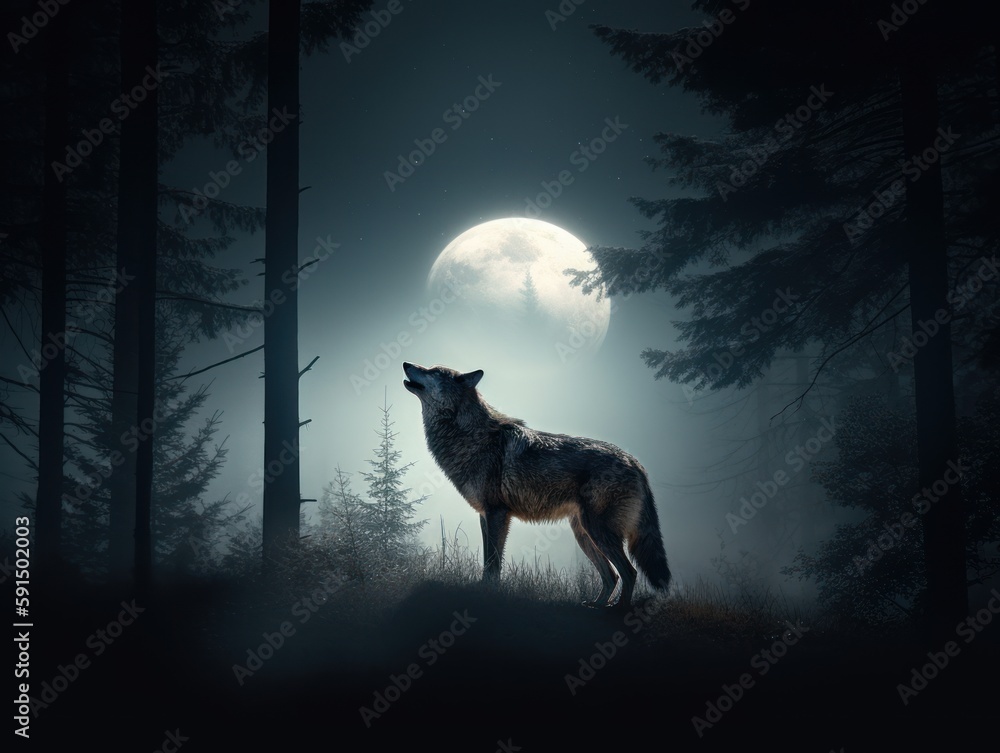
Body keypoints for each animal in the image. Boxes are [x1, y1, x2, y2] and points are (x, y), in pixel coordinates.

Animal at [403, 361, 671, 608]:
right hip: (584, 533)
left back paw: (617, 610)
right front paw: (483, 589)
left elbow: (493, 563)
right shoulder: (484, 516)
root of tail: (635, 462)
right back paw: (596, 605)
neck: (470, 435)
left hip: (597, 531)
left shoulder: (497, 513)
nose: (406, 364)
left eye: (434, 371)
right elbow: (488, 561)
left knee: (629, 572)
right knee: (612, 576)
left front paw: (488, 594)